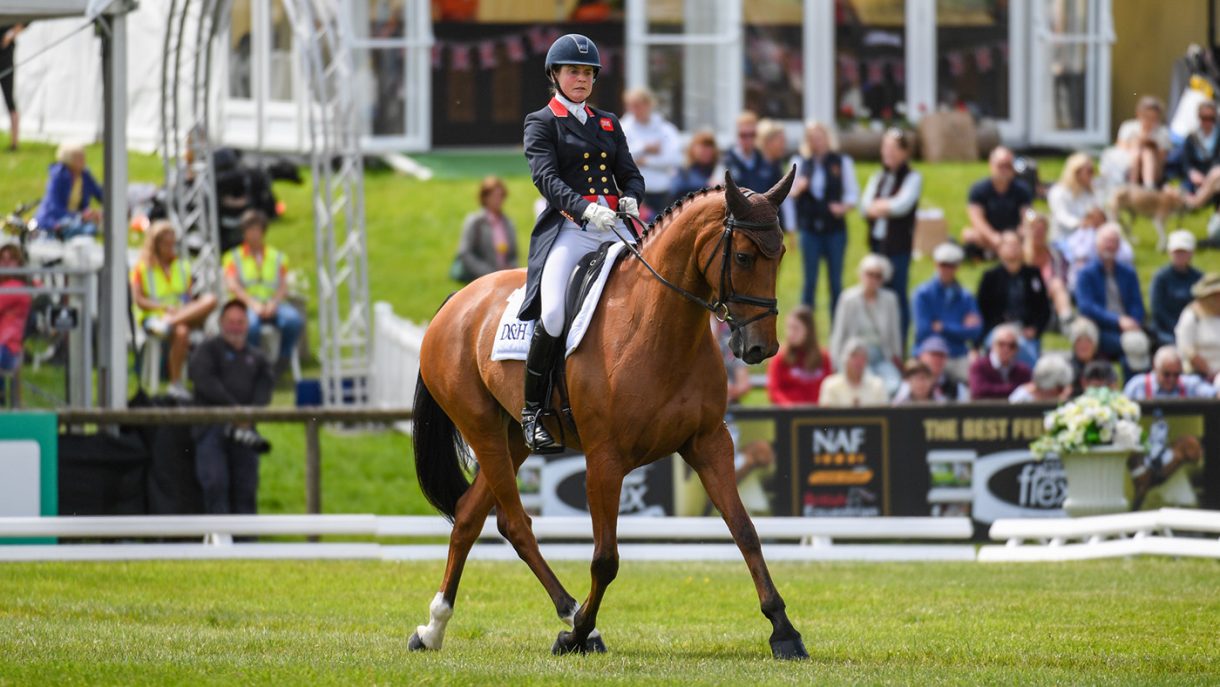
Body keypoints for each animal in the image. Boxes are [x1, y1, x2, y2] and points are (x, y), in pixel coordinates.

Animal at [407, 168, 807, 660]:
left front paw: (784, 631)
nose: (759, 349)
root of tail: (457, 300)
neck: (659, 325)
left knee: (470, 516)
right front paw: (577, 634)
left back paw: (433, 627)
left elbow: (745, 531)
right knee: (516, 522)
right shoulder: (604, 459)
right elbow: (605, 558)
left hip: (513, 437)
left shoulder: (709, 441)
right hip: (480, 428)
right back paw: (569, 617)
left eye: (781, 253)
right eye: (746, 257)